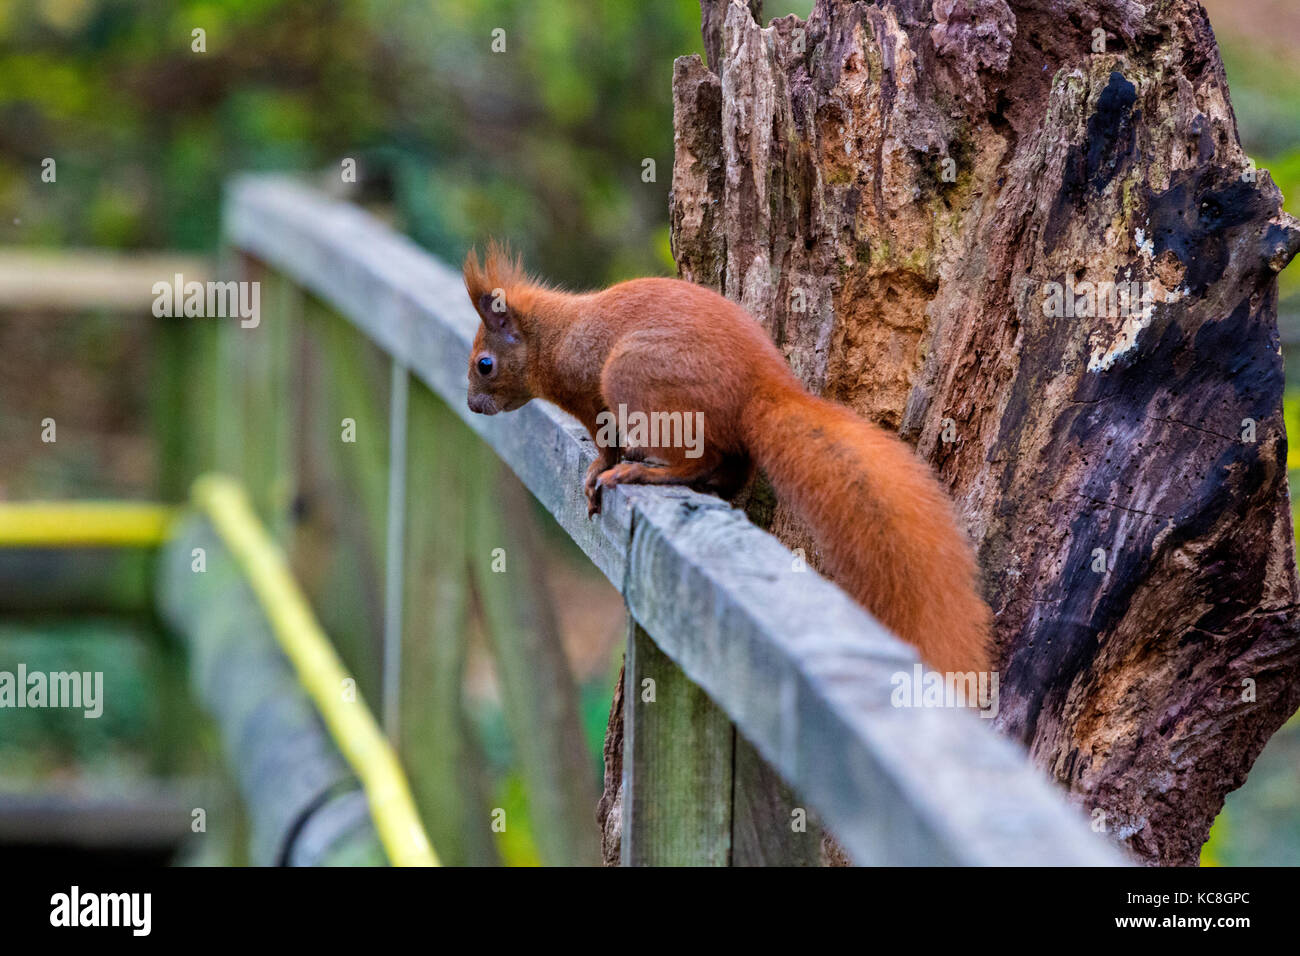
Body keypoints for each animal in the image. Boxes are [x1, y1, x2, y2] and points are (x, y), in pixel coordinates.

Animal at [463, 242, 992, 675]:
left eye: (484, 365)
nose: (472, 405)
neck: (555, 336)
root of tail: (760, 387)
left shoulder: (590, 397)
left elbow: (603, 441)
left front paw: (598, 471)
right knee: (732, 468)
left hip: (635, 380)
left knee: (698, 458)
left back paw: (647, 472)